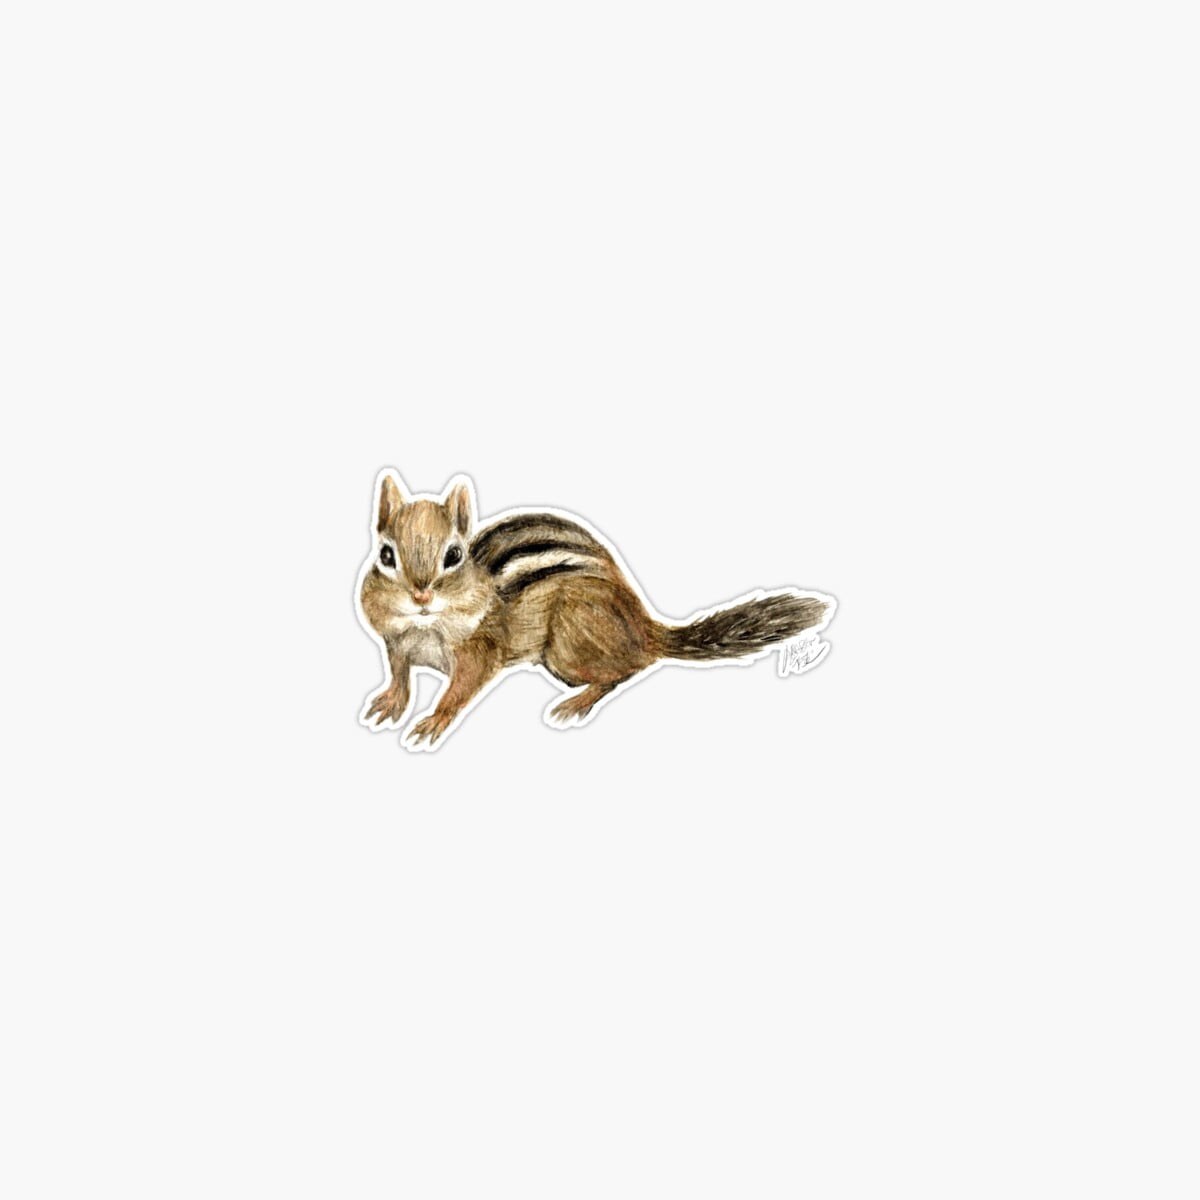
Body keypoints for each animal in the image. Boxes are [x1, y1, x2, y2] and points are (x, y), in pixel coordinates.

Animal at [357, 472, 834, 749]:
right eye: (386, 555)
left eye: (454, 556)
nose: (421, 597)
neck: (424, 628)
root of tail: (643, 624)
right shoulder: (394, 643)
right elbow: (399, 672)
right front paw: (391, 700)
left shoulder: (480, 651)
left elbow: (460, 689)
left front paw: (434, 721)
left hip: (570, 641)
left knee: (627, 668)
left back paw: (578, 702)